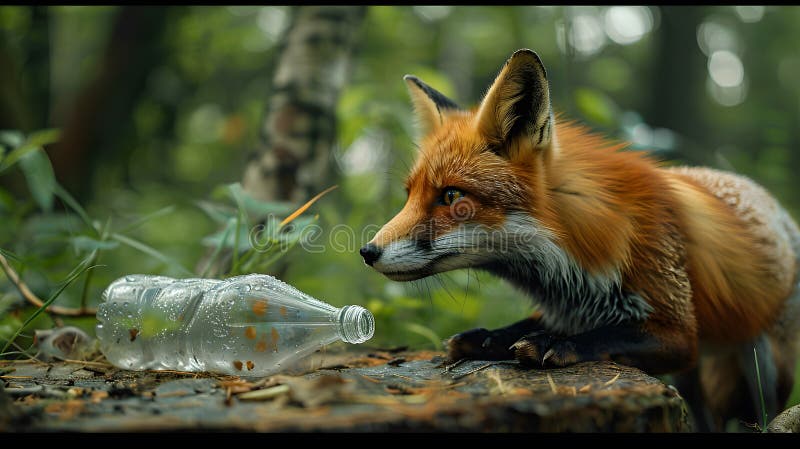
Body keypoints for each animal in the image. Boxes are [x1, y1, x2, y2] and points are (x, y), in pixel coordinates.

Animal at [359, 49, 800, 430]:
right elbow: (526, 324)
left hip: (761, 367)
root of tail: (777, 208)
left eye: (451, 196)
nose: (367, 251)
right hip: (695, 378)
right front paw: (490, 338)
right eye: (409, 195)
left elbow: (605, 334)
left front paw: (555, 345)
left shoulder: (677, 330)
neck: (569, 267)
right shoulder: (571, 307)